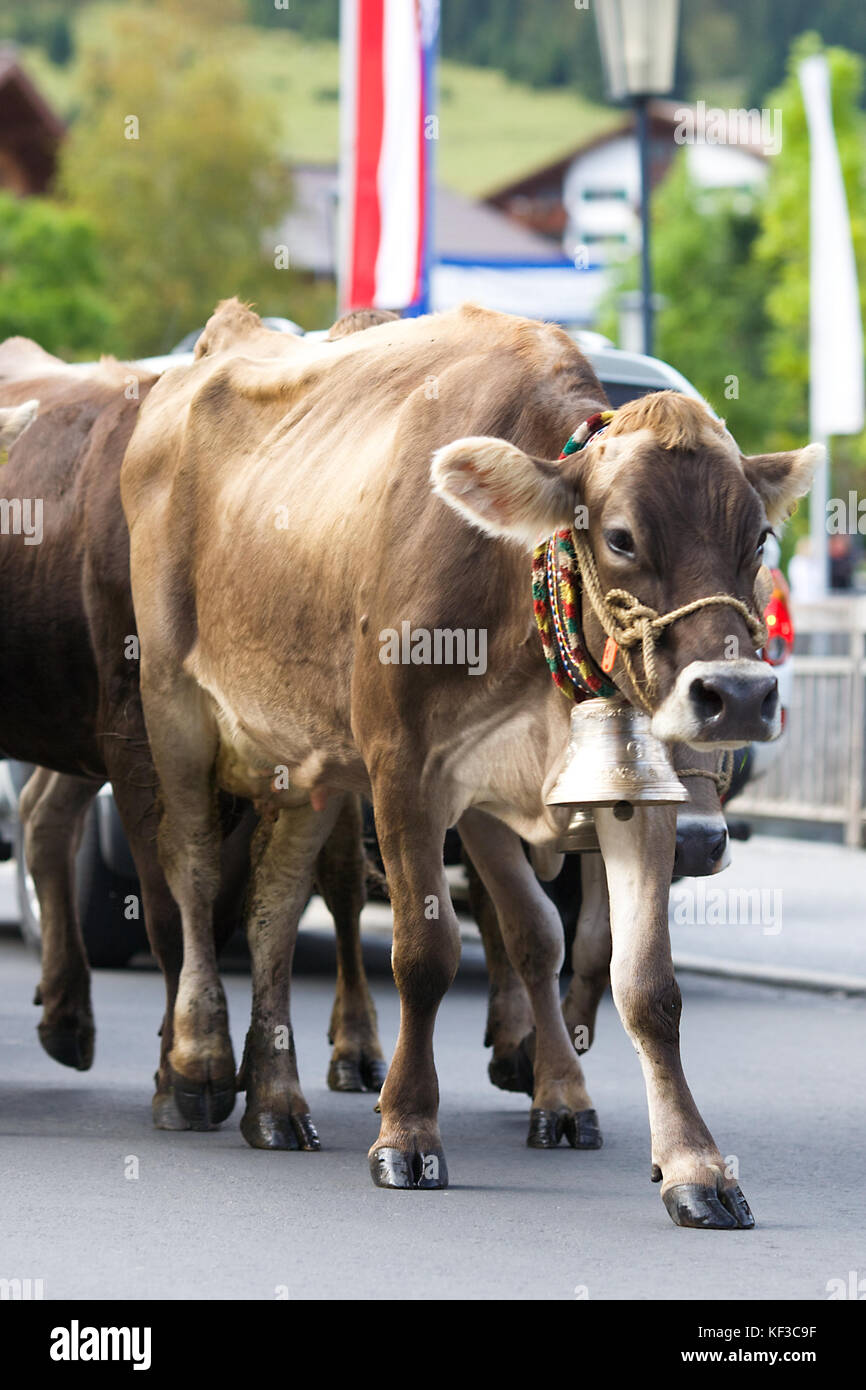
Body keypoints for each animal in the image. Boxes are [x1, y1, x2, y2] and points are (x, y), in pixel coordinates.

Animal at [121, 299, 819, 1226]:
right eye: (622, 537)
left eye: (761, 537)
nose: (736, 695)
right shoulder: (404, 767)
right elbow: (426, 952)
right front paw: (408, 1132)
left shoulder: (624, 786)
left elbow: (634, 978)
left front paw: (691, 1166)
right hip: (174, 706)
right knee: (195, 873)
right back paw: (195, 1066)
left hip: (303, 759)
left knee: (274, 903)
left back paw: (274, 1100)